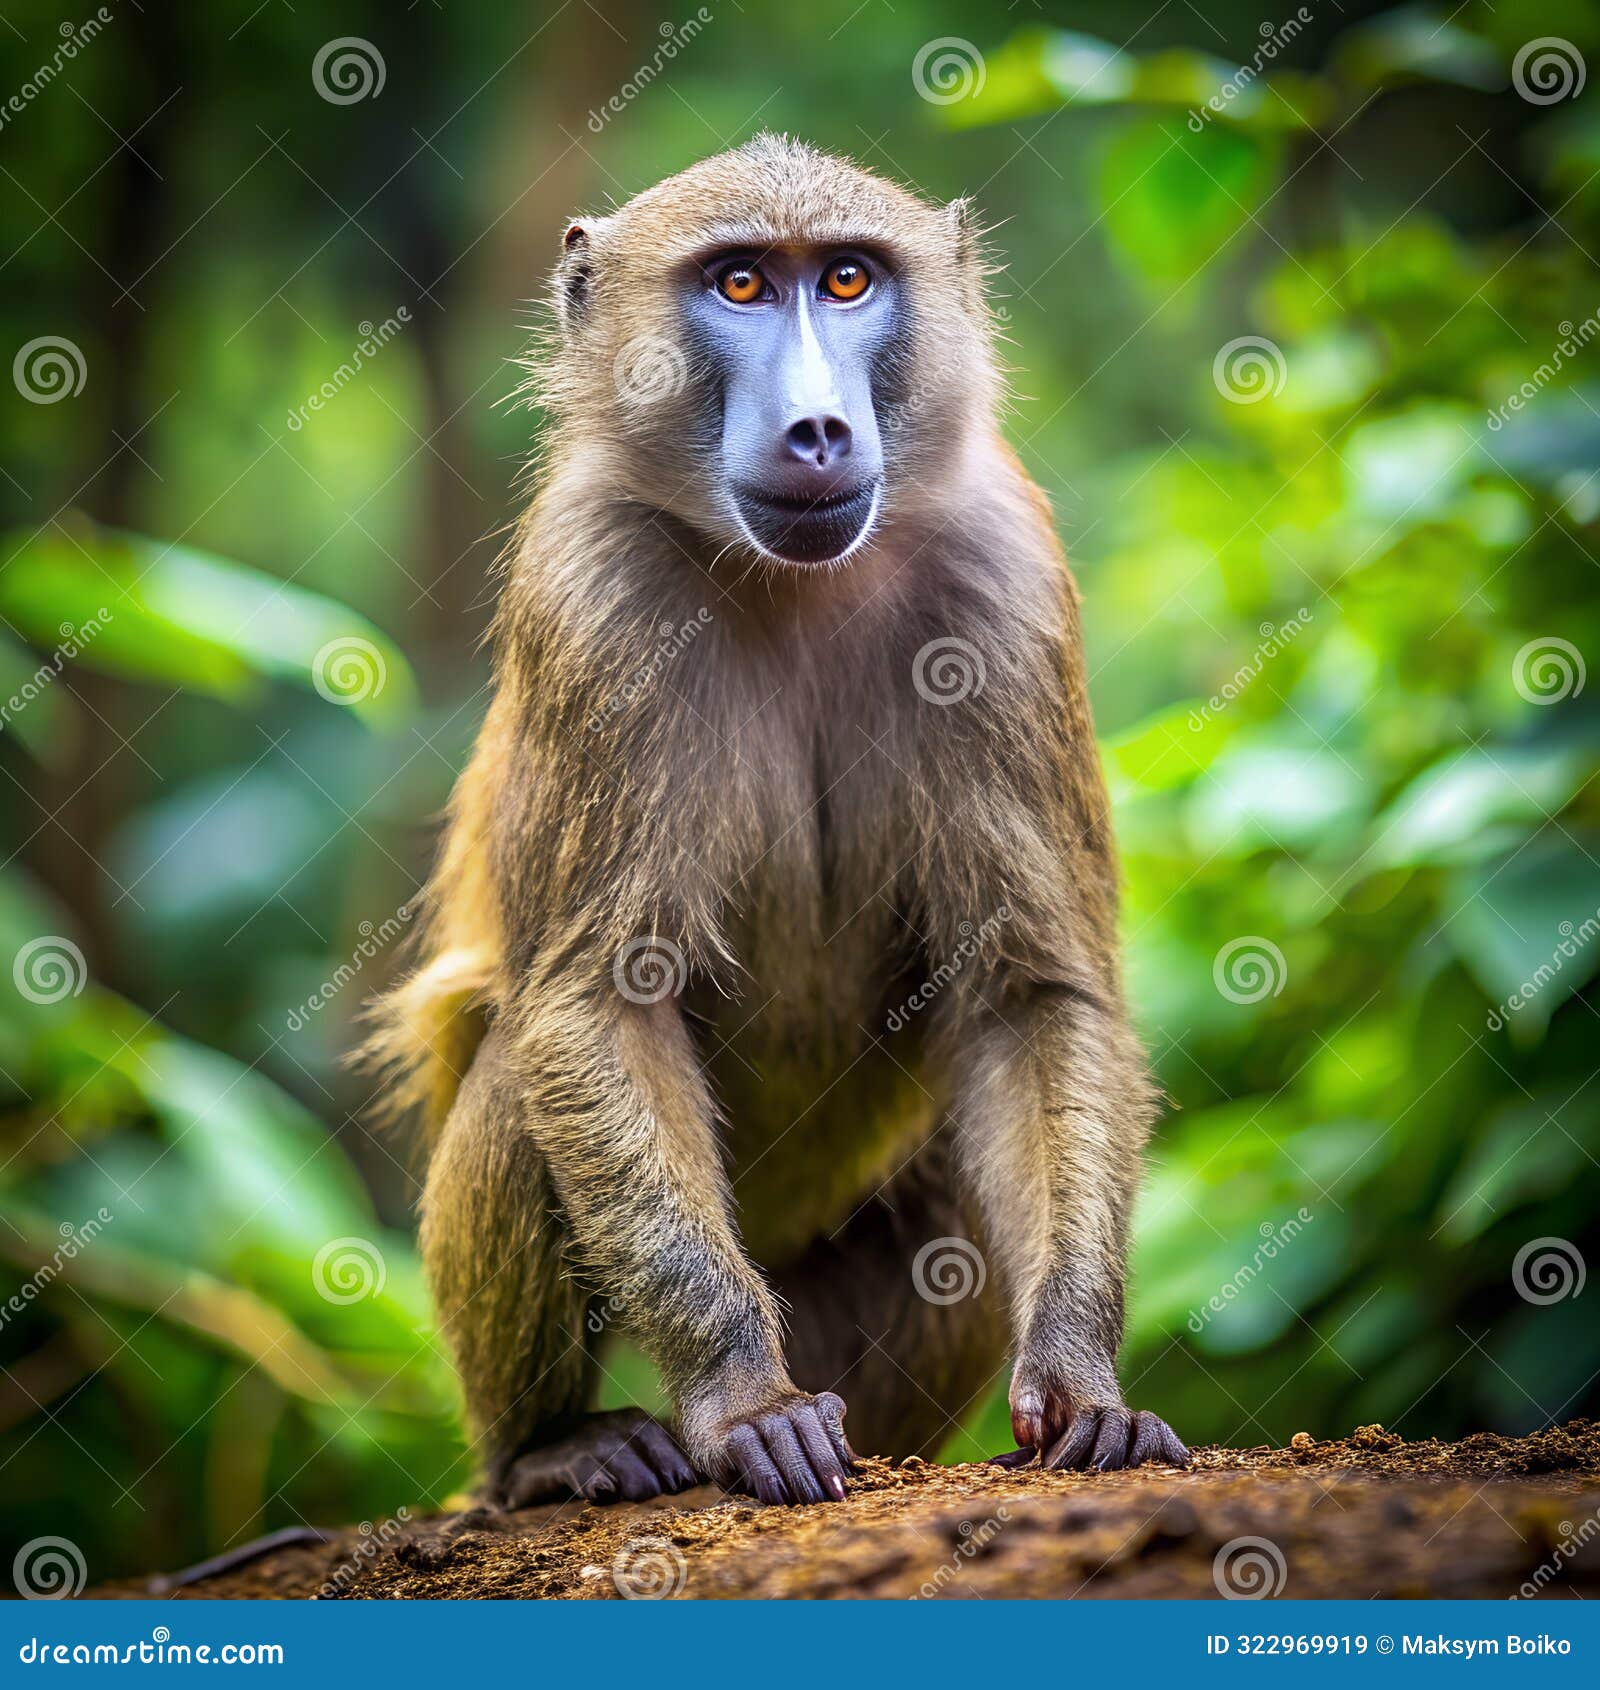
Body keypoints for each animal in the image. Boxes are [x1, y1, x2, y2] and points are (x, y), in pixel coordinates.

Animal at [366, 134, 1189, 1510]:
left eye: (848, 279)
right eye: (741, 285)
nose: (815, 428)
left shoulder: (1006, 580)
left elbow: (1033, 996)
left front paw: (1080, 1375)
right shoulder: (590, 592)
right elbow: (595, 1001)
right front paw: (741, 1397)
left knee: (950, 1214)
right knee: (517, 1085)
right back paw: (553, 1446)